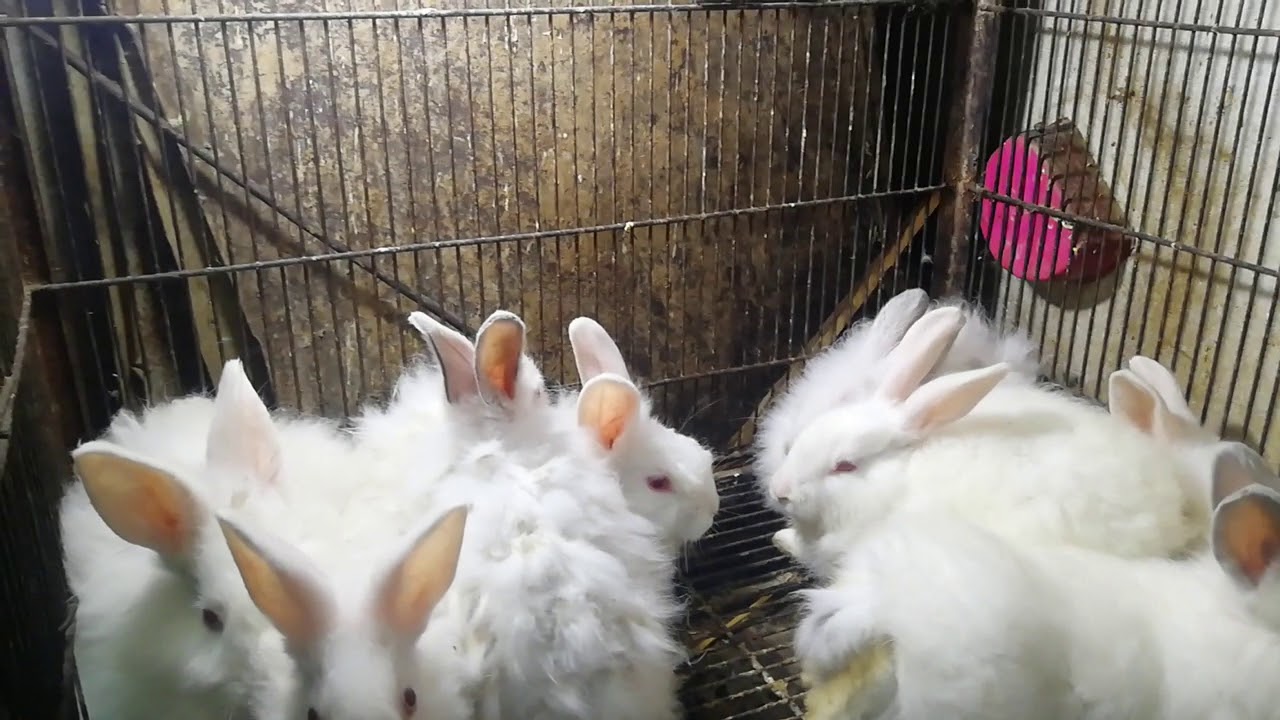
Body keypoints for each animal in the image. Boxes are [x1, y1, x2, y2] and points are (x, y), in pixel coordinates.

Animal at [765, 306, 1206, 581]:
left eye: (845, 465)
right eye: (798, 442)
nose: (779, 490)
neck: (898, 480)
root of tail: (1171, 508)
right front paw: (780, 538)